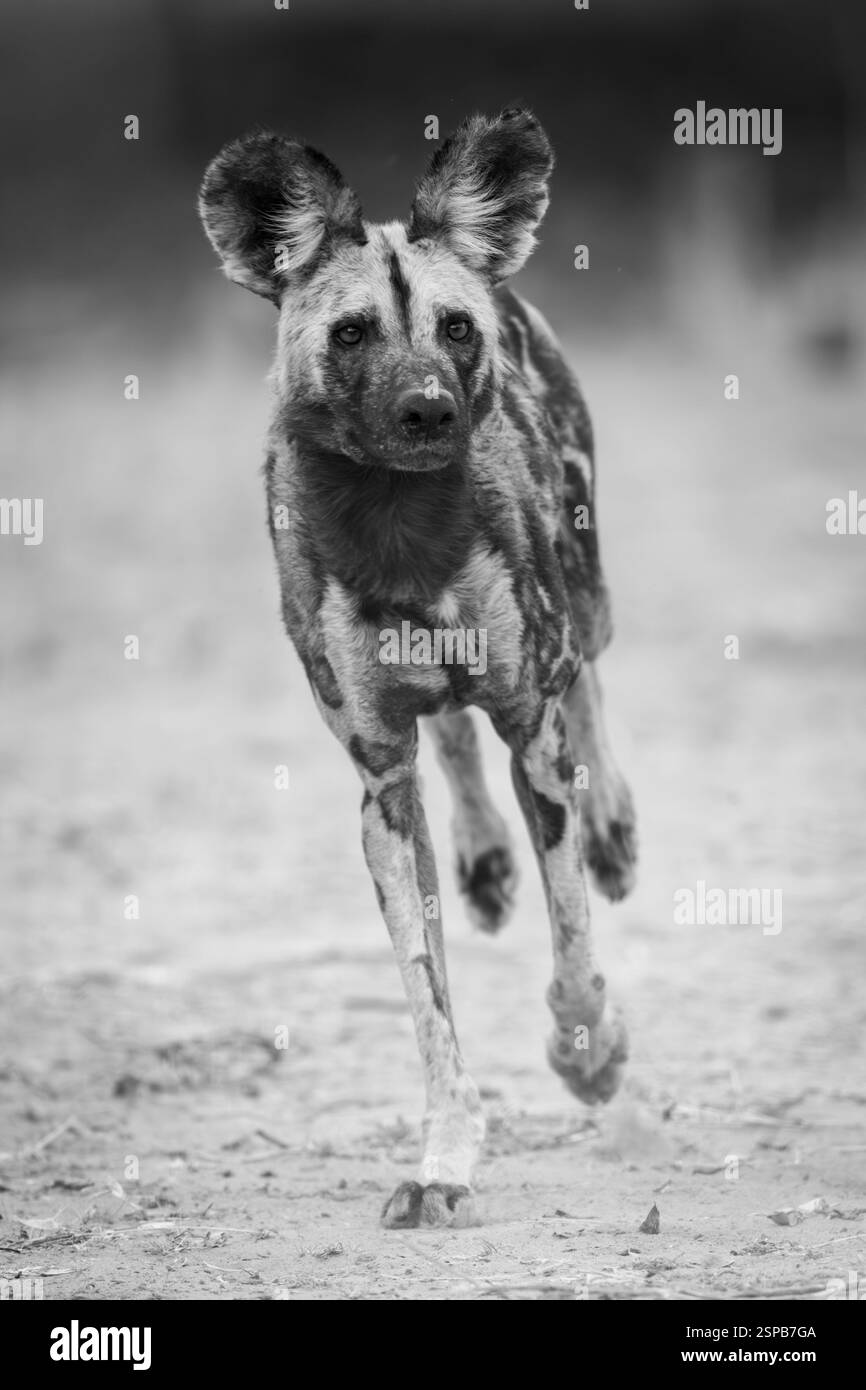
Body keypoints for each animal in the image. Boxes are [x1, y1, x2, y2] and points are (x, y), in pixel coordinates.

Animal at [199, 108, 637, 1228]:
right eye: (352, 332)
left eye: (454, 328)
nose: (432, 410)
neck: (399, 530)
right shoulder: (380, 788)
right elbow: (428, 1006)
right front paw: (443, 1160)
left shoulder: (533, 741)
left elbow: (573, 943)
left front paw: (587, 1056)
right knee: (450, 732)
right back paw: (482, 859)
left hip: (583, 599)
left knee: (587, 686)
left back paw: (612, 831)